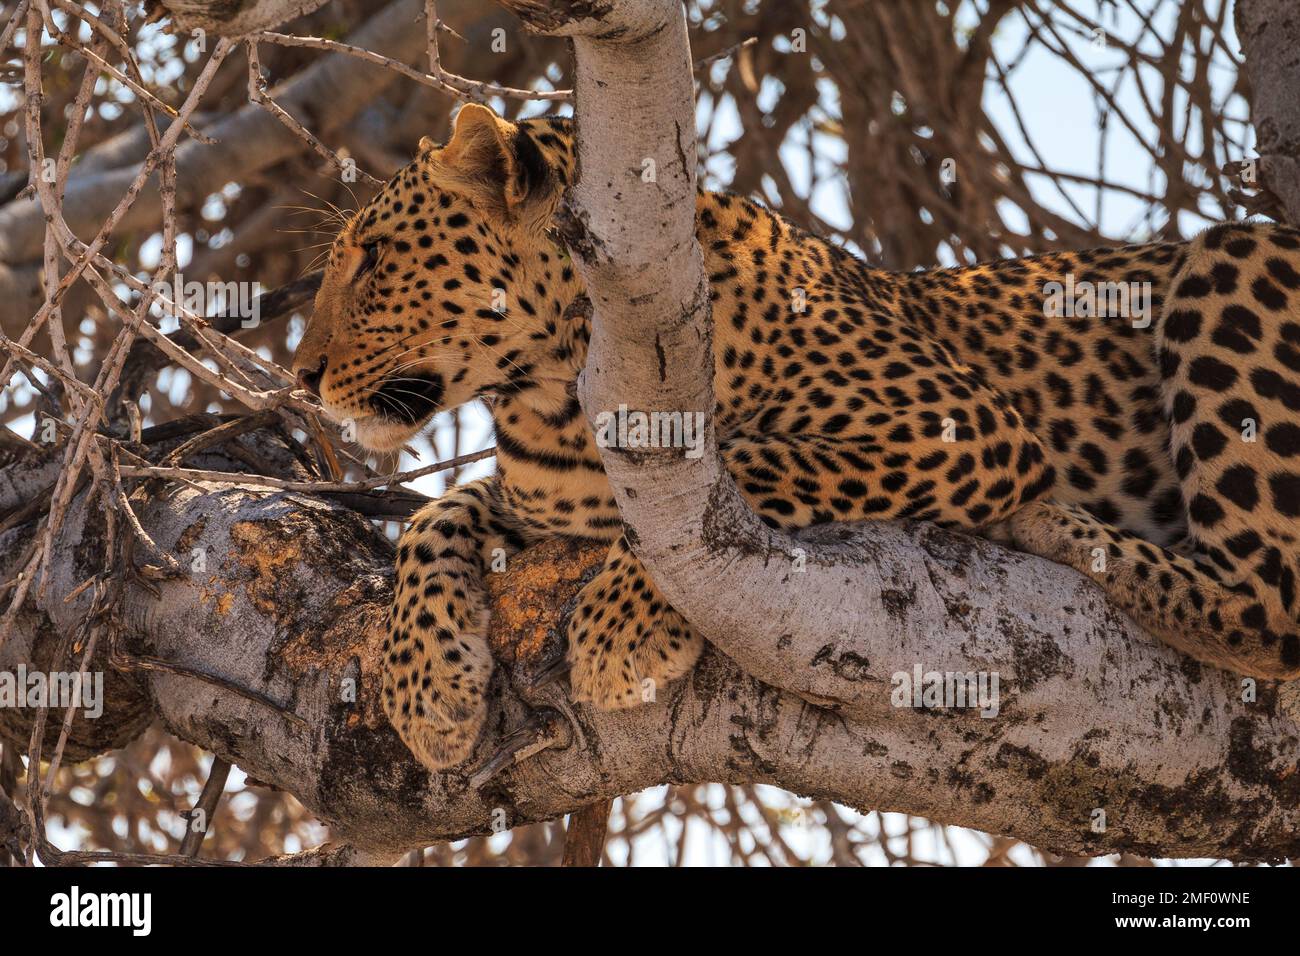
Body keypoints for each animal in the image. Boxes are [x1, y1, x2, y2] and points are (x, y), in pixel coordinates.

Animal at [293, 103, 1300, 773]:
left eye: (374, 258)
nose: (302, 376)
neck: (557, 387)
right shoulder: (546, 506)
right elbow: (435, 519)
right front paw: (427, 687)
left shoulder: (968, 426)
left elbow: (731, 475)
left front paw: (622, 629)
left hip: (1229, 256)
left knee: (1269, 606)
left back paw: (1060, 530)